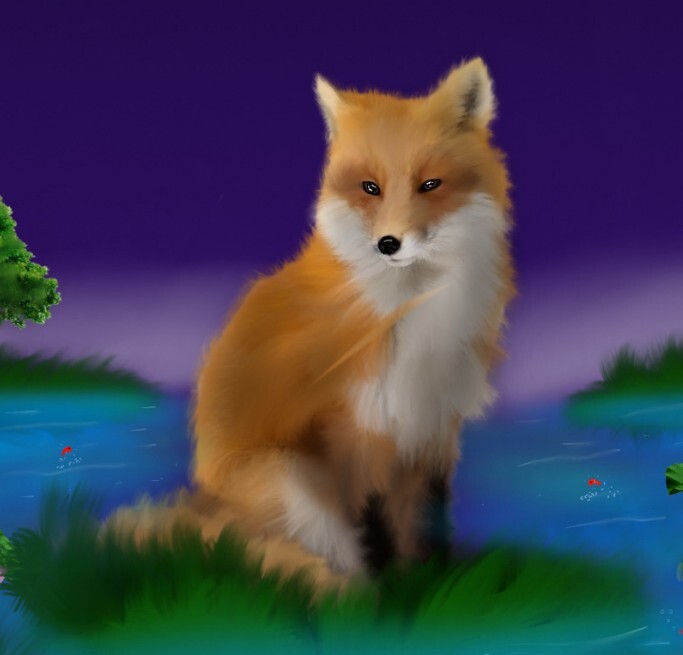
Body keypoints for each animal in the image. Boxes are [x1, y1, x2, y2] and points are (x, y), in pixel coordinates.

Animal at [106, 57, 516, 589]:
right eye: (370, 187)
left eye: (430, 185)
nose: (388, 243)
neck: (405, 317)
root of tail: (203, 505)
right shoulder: (347, 432)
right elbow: (368, 530)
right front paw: (383, 598)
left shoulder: (430, 431)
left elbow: (426, 525)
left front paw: (428, 586)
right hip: (289, 480)